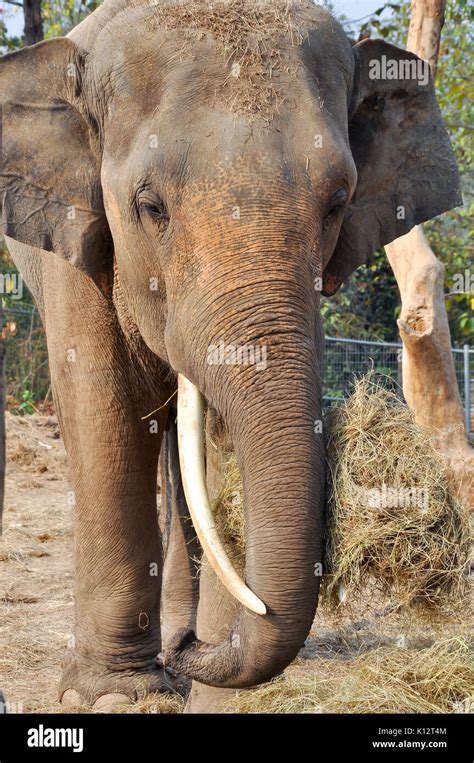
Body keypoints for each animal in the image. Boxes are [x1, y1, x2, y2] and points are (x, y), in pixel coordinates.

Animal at [0, 0, 460, 713]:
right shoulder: (74, 244)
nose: (191, 652)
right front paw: (115, 697)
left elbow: (220, 439)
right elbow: (105, 412)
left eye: (337, 203)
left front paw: (209, 685)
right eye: (149, 206)